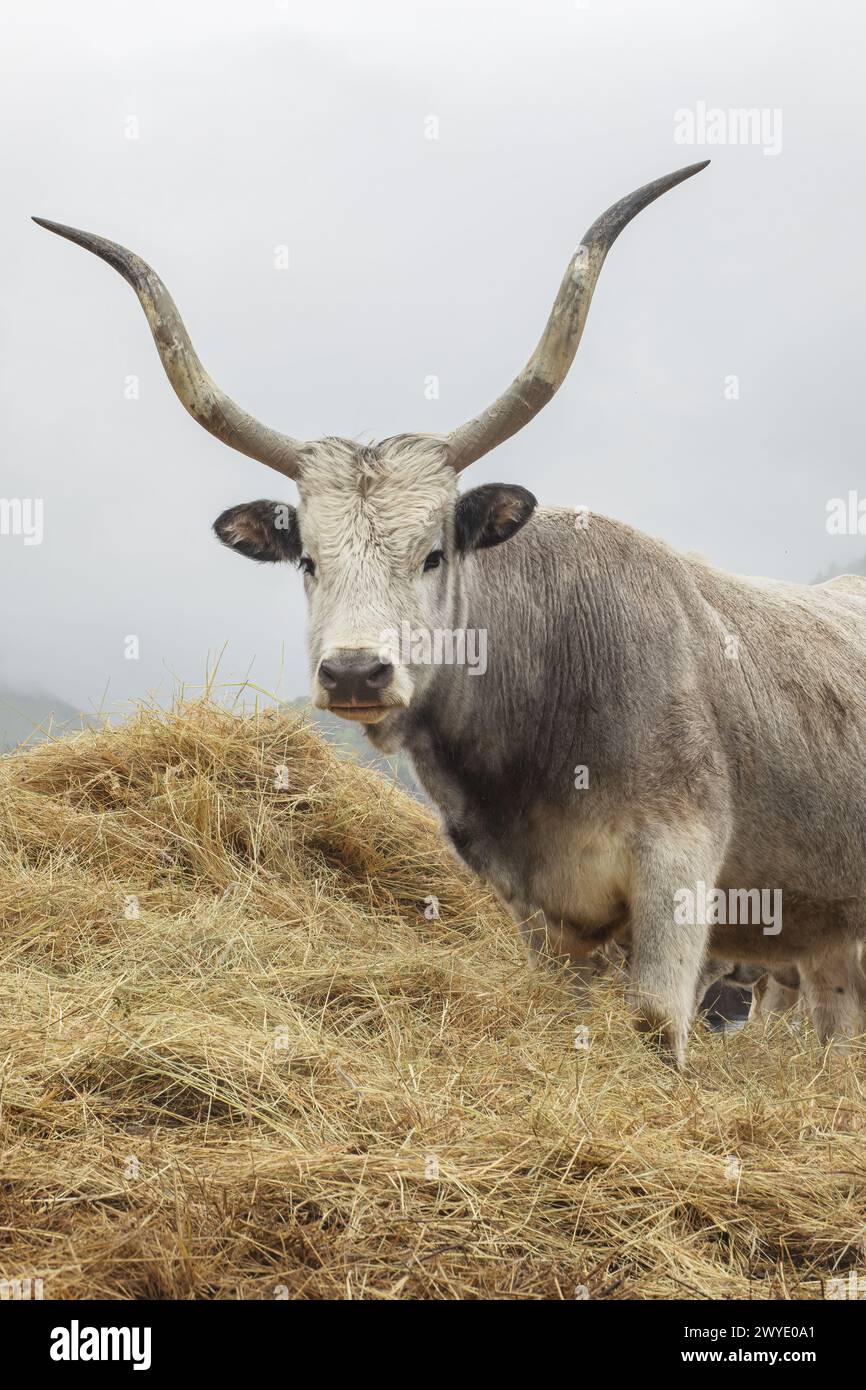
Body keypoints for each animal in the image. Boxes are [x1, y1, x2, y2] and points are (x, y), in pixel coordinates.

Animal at [34, 161, 866, 1067]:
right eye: (307, 560)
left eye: (433, 553)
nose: (355, 672)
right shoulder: (541, 911)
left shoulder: (677, 874)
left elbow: (653, 1026)